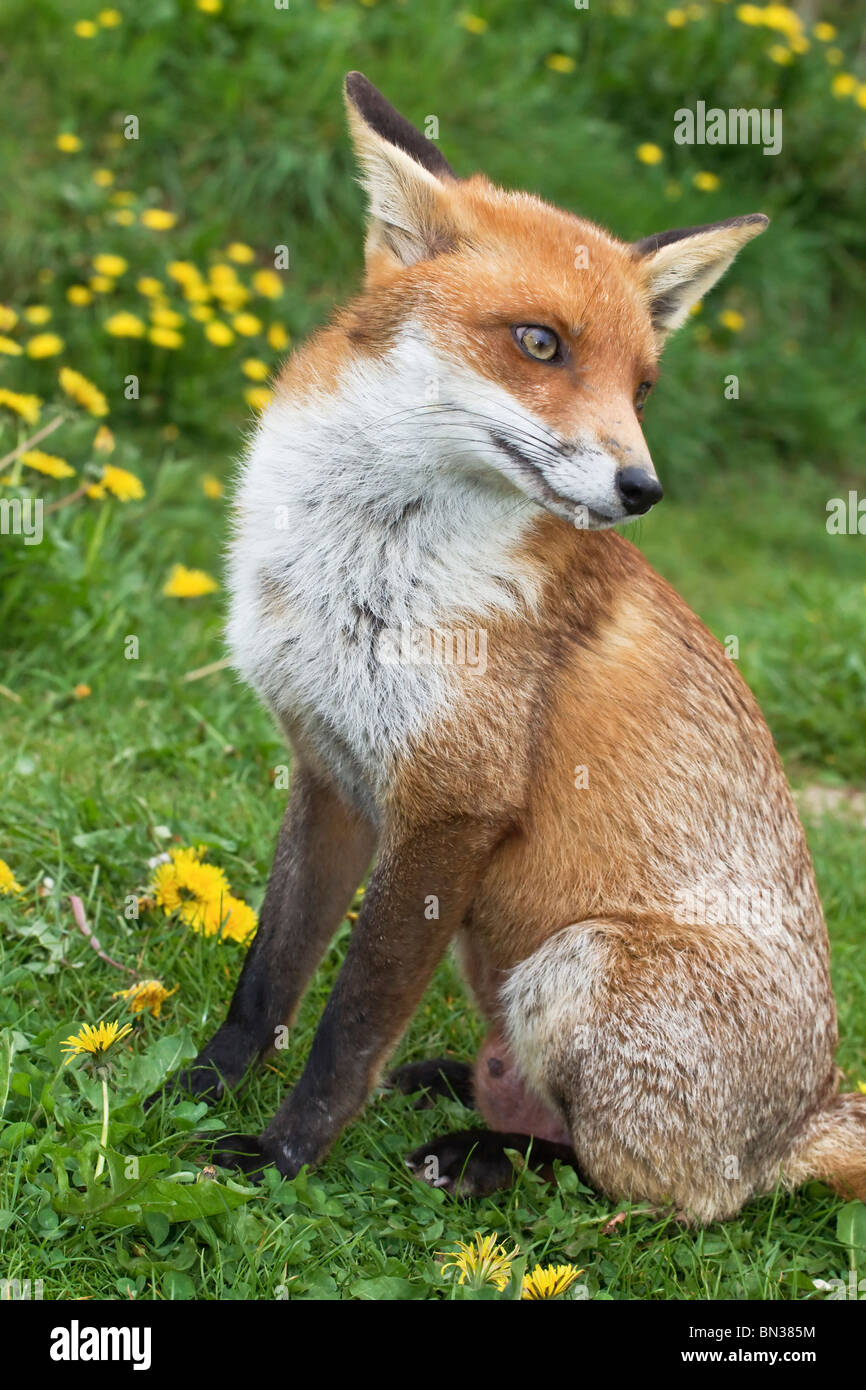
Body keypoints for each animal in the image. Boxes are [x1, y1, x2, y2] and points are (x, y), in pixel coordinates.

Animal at [165, 72, 866, 1223]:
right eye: (540, 344)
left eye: (642, 386)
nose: (642, 488)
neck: (360, 562)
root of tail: (806, 1114)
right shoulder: (330, 772)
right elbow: (268, 976)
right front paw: (196, 1086)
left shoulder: (451, 802)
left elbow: (346, 1024)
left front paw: (281, 1157)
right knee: (531, 1100)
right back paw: (455, 1091)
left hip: (577, 965)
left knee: (654, 1193)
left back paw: (485, 1156)